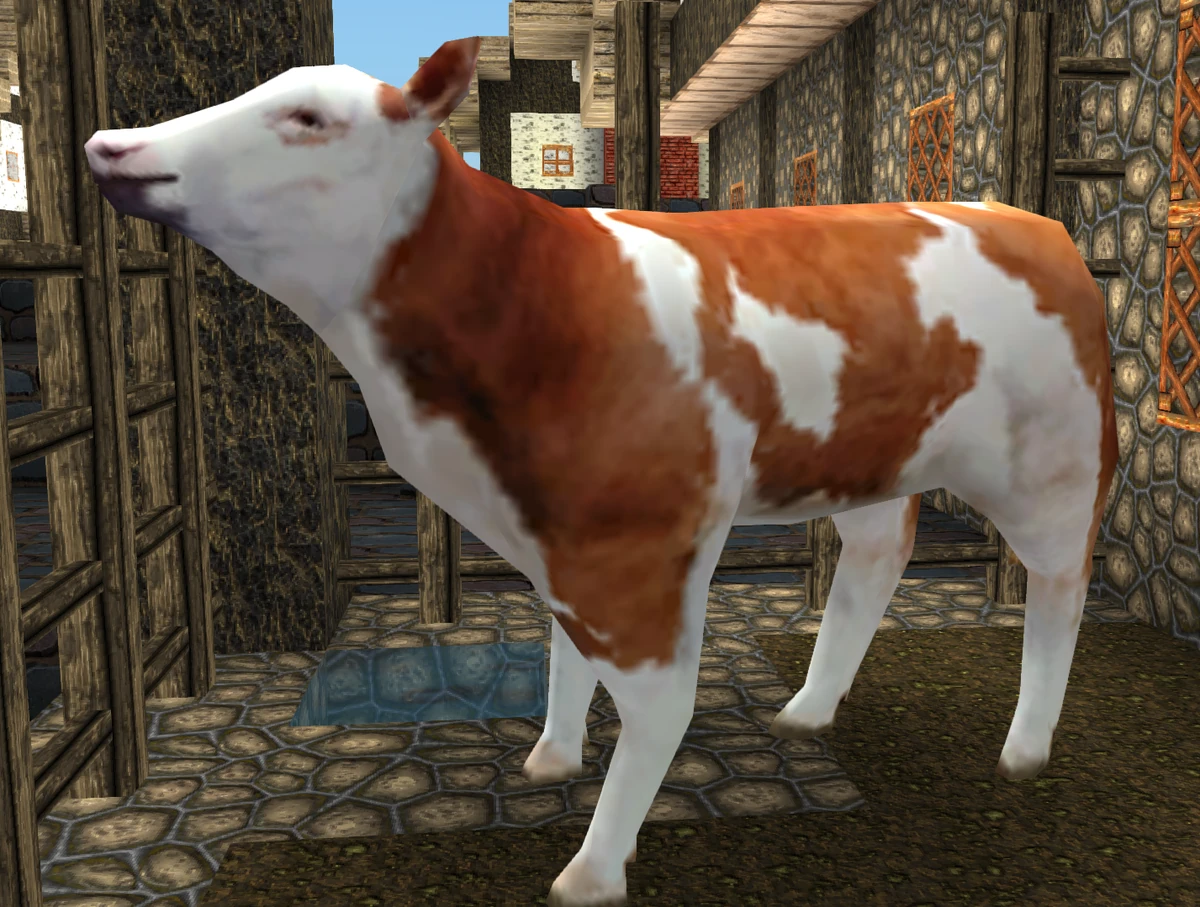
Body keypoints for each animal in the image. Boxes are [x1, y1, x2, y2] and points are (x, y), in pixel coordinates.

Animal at [84, 37, 1117, 907]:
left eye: (306, 116)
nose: (109, 145)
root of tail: (1027, 217)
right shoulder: (558, 531)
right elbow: (565, 651)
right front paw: (550, 756)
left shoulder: (637, 534)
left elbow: (658, 704)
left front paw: (591, 868)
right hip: (865, 458)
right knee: (878, 551)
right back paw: (809, 708)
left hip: (1053, 463)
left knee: (1061, 585)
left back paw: (1026, 746)